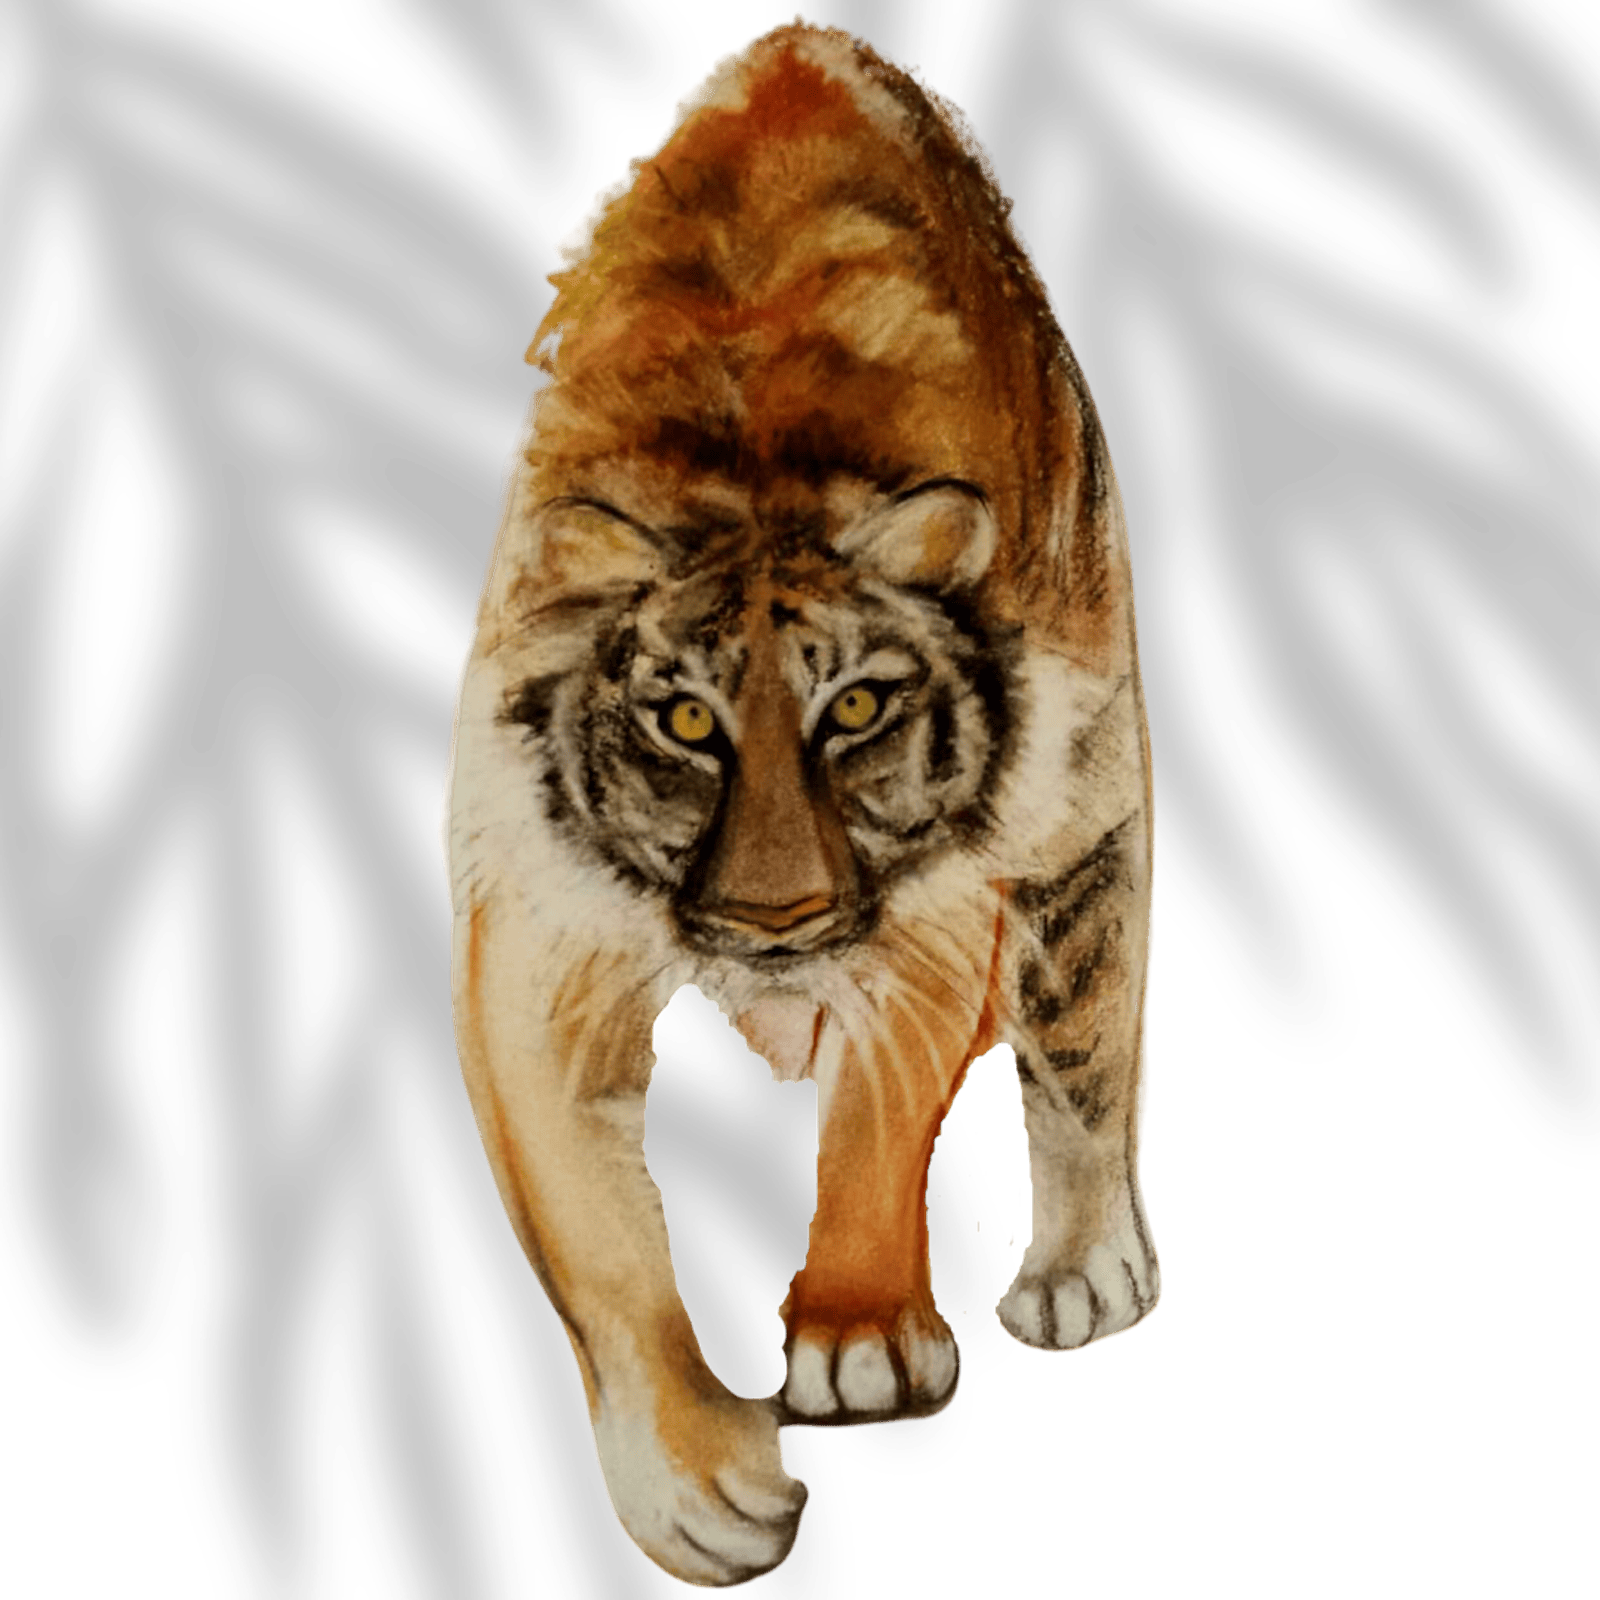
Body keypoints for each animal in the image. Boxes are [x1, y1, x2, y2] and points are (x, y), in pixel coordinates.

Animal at [440, 16, 1159, 1589]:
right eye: (684, 722)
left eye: (859, 712)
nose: (783, 918)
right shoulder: (532, 926)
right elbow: (595, 1236)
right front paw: (701, 1490)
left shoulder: (936, 900)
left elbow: (881, 1114)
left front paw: (862, 1337)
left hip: (1085, 805)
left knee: (1084, 1032)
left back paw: (1086, 1271)